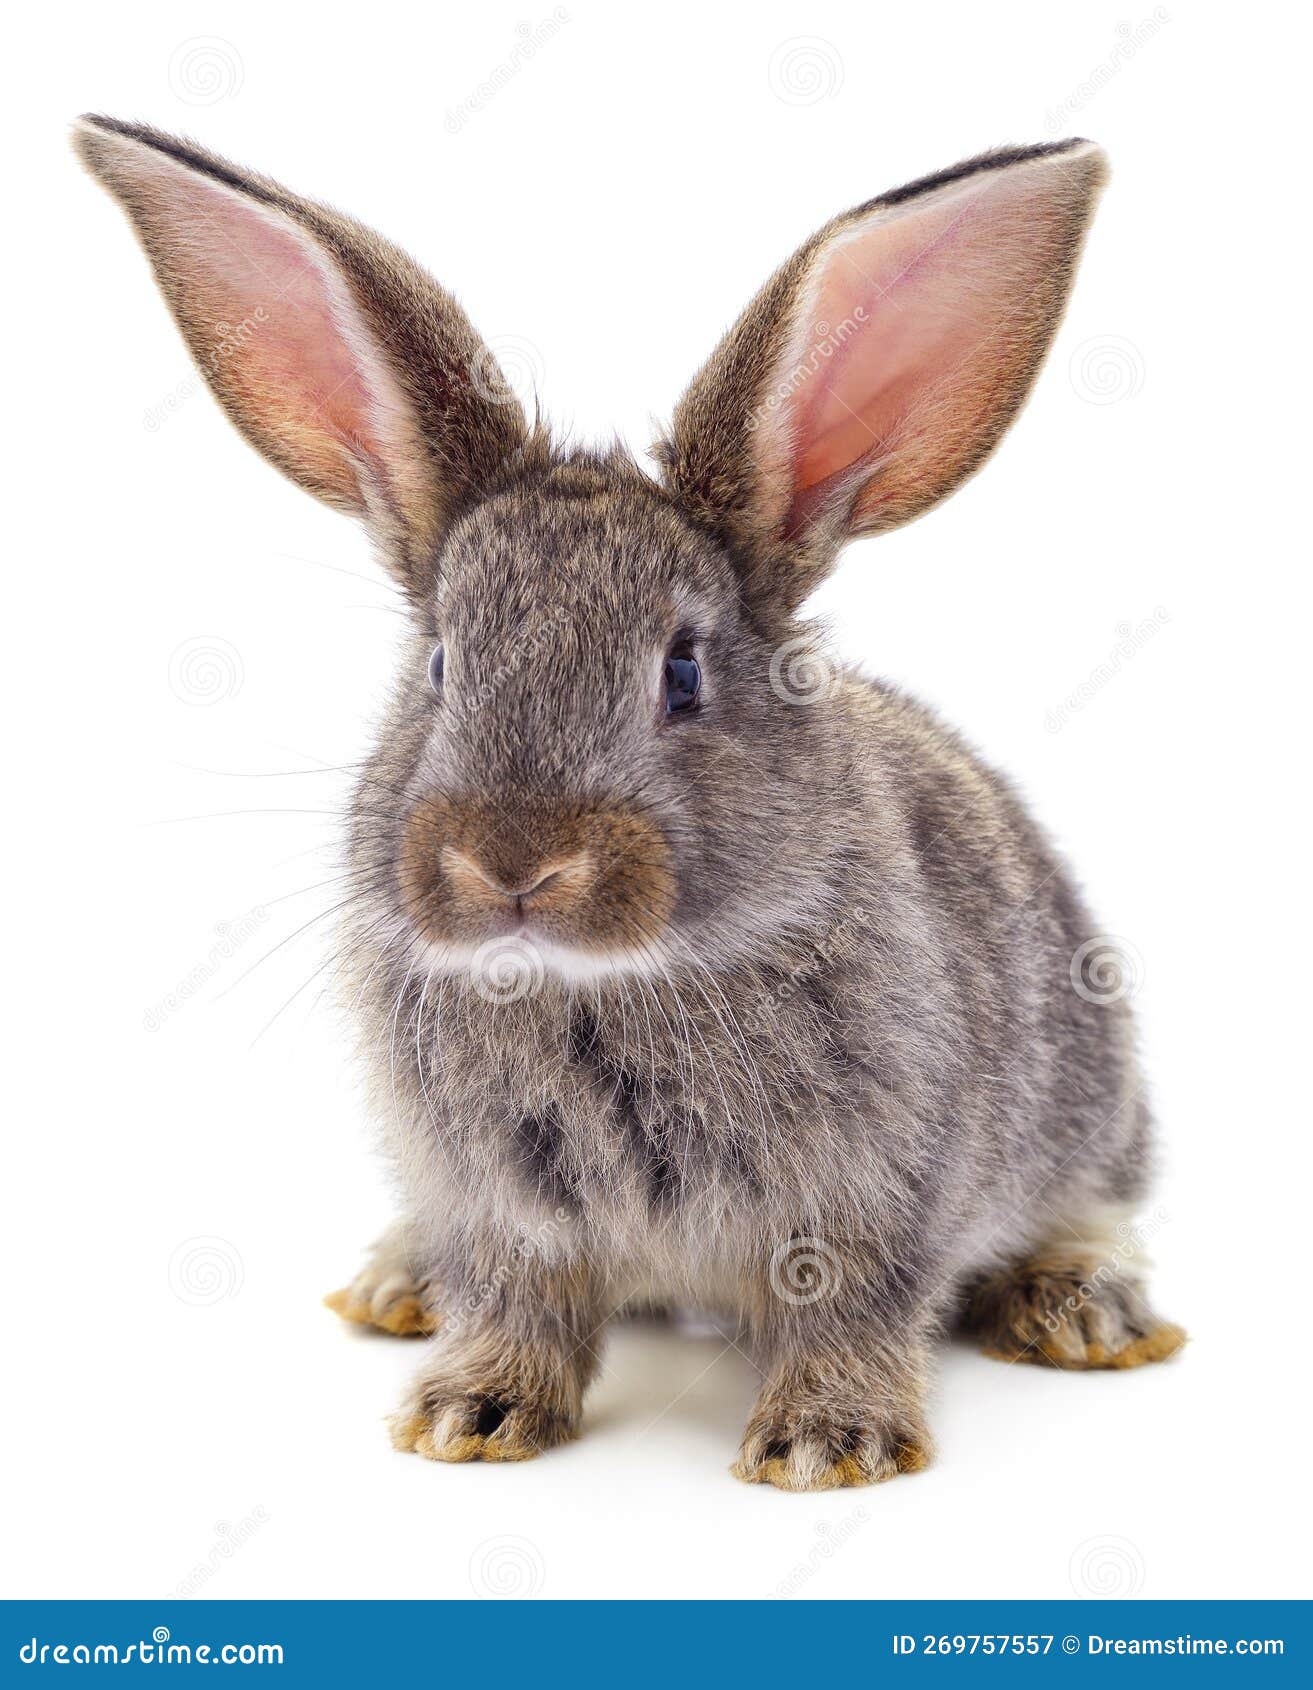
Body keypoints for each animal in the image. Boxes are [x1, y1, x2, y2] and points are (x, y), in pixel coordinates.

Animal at [76, 115, 1184, 1491]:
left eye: (682, 672)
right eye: (440, 665)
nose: (511, 864)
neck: (594, 984)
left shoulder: (874, 1197)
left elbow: (851, 1311)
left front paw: (828, 1445)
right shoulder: (500, 1213)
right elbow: (518, 1305)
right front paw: (469, 1415)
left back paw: (1081, 1312)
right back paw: (396, 1289)